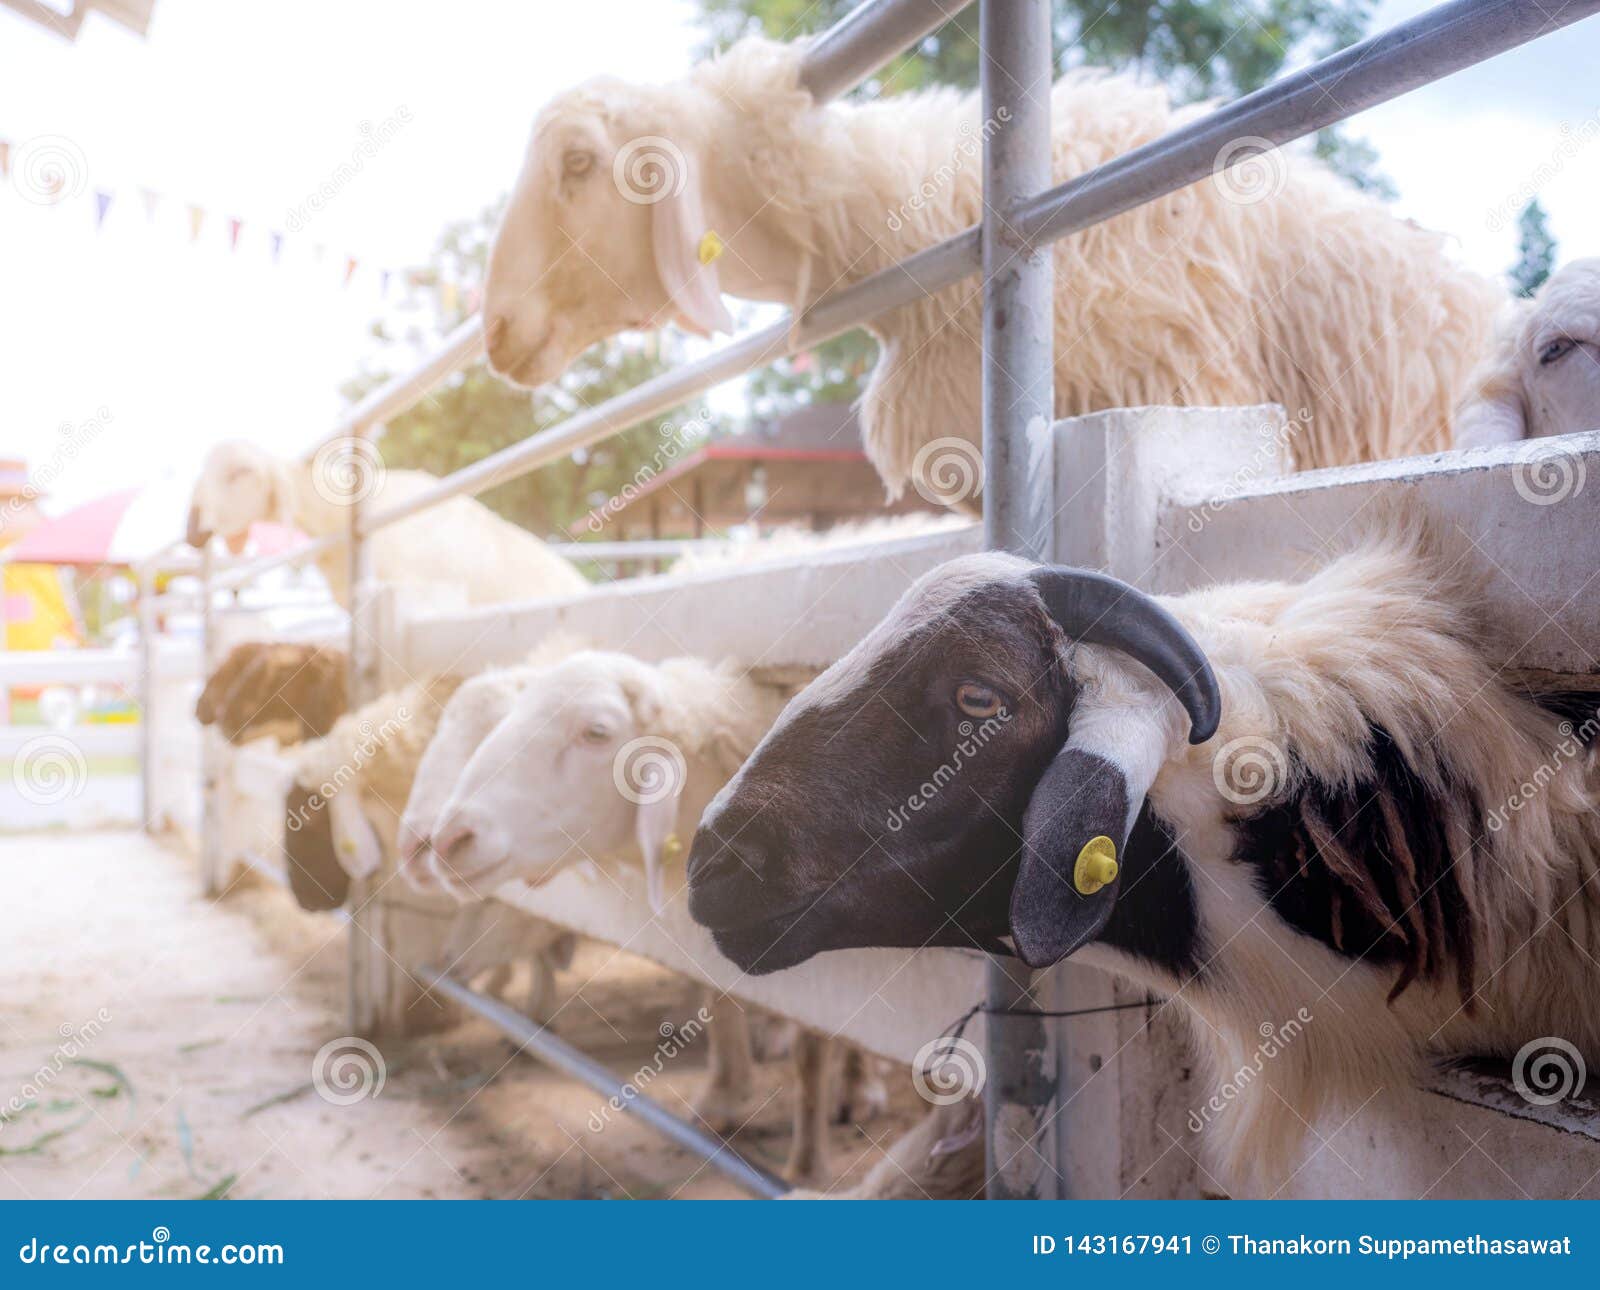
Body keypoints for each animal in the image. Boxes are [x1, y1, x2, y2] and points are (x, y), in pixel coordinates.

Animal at [400, 648, 887, 1185]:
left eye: (596, 732)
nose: (447, 841)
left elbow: (813, 1047)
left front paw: (806, 1170)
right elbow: (720, 996)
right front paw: (726, 1095)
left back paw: (857, 1086)